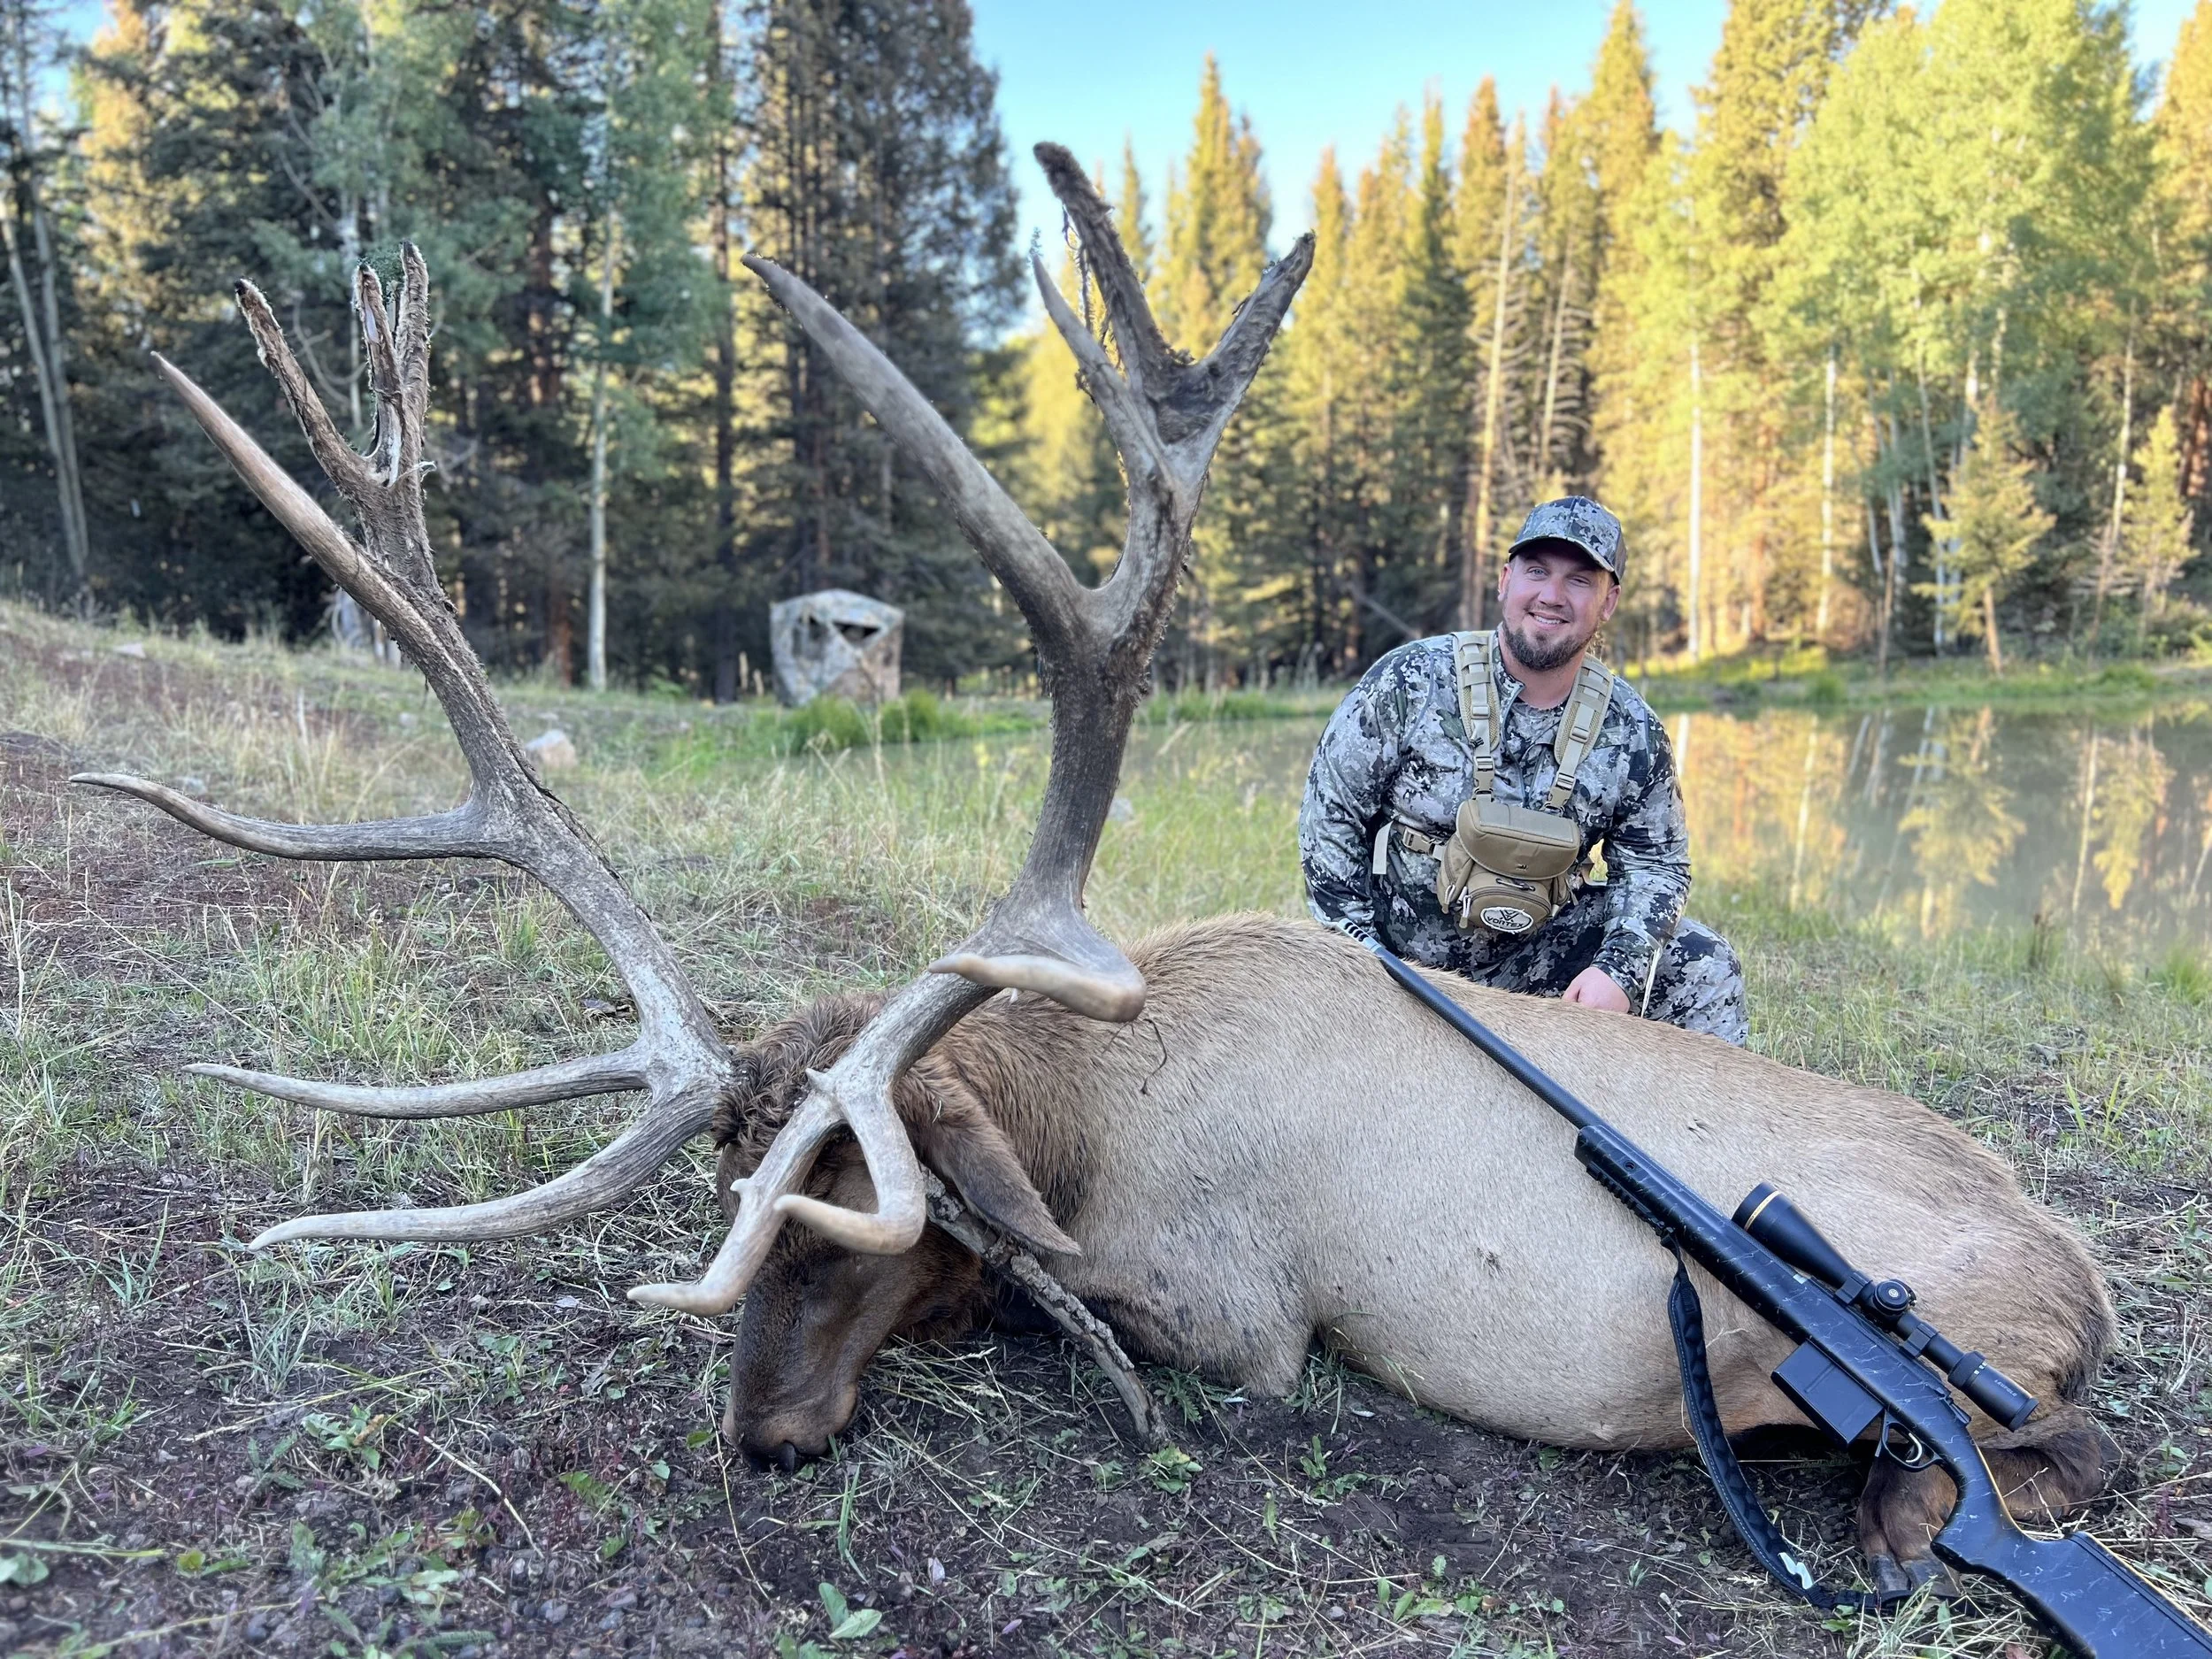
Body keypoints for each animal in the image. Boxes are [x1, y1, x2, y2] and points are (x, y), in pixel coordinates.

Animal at [73, 146, 2117, 1601]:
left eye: (870, 1219)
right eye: (739, 1189)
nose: (764, 1440)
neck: (1083, 1114)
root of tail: (2086, 1279)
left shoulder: (1246, 1314)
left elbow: (1094, 1320)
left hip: (1848, 1362)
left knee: (2024, 1470)